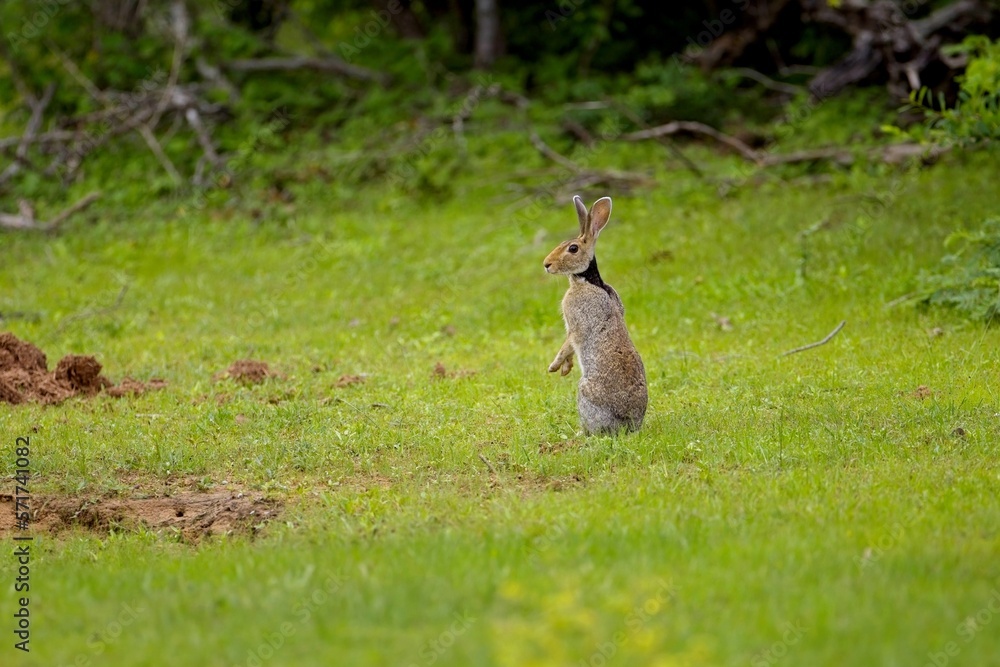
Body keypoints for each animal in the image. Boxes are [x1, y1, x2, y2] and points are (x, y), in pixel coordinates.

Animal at [543, 195, 648, 435]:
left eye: (572, 248)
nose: (546, 264)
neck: (587, 279)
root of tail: (629, 424)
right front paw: (565, 369)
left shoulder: (576, 326)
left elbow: (567, 344)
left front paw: (554, 367)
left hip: (584, 393)